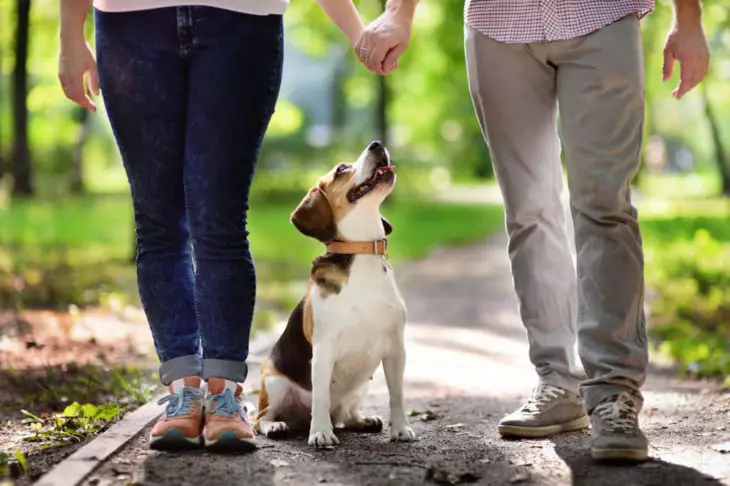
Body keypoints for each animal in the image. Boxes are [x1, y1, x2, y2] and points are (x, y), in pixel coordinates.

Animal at [255, 140, 416, 448]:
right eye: (341, 169)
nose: (377, 144)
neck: (362, 250)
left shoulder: (395, 349)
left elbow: (398, 395)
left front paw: (400, 428)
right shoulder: (323, 349)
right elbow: (320, 396)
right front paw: (320, 433)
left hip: (361, 386)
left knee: (346, 414)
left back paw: (361, 420)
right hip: (274, 383)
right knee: (260, 418)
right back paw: (278, 426)